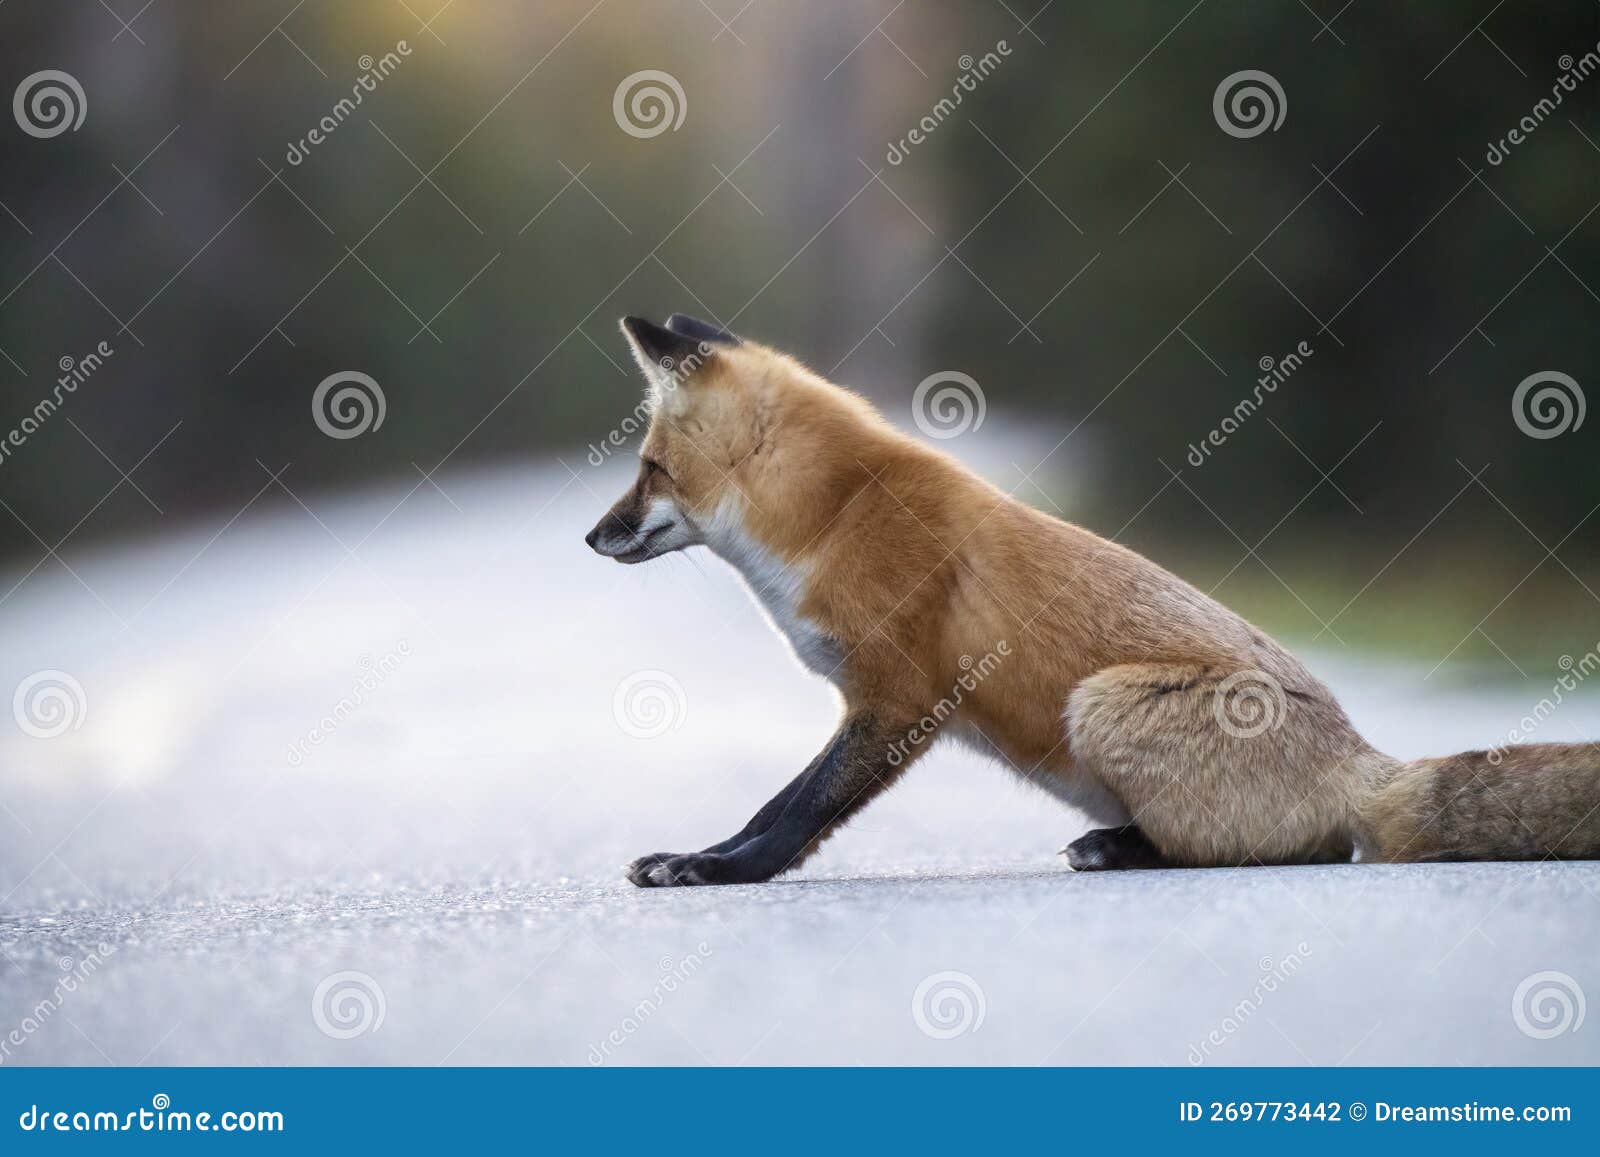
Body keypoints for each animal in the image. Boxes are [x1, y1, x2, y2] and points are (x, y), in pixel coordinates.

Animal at [586, 313, 1600, 887]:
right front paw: (711, 858)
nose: (592, 536)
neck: (835, 515)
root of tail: (1363, 759)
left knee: (1298, 850)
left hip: (1102, 702)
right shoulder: (882, 704)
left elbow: (794, 810)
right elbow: (783, 804)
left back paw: (1121, 850)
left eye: (649, 470)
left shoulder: (897, 697)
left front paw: (718, 870)